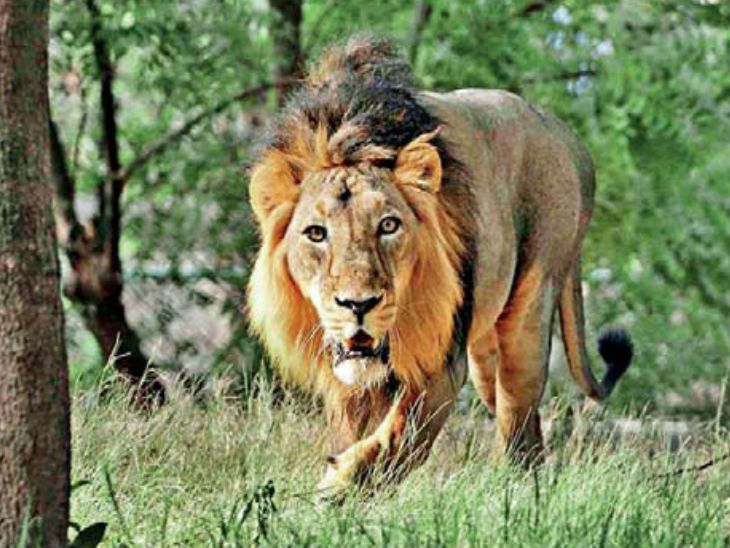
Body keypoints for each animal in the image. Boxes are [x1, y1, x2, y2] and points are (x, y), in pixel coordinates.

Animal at [246, 36, 633, 496]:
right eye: (316, 233)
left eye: (388, 225)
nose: (358, 305)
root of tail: (570, 140)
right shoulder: (346, 379)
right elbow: (355, 431)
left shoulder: (442, 361)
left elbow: (398, 437)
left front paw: (337, 486)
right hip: (484, 350)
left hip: (529, 310)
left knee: (517, 417)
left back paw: (513, 492)